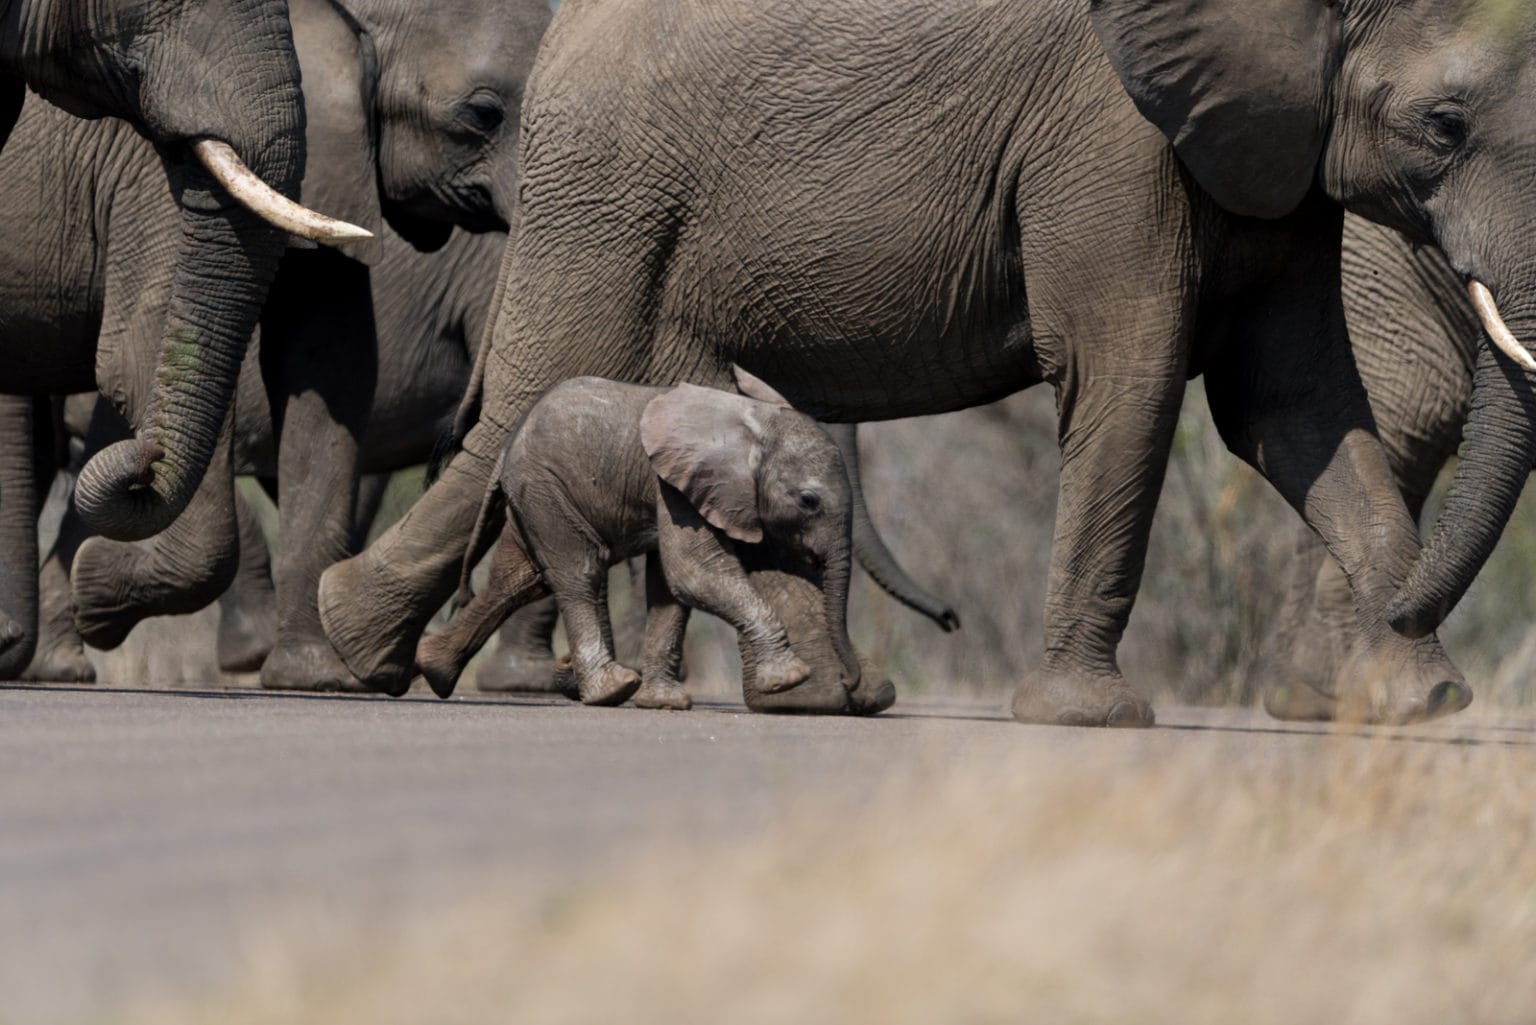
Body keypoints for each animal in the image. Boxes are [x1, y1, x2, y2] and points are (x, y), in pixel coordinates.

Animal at [0, 0, 551, 684]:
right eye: (483, 114)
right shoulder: (145, 164)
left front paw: (316, 677)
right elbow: (142, 356)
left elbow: (332, 373)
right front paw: (95, 591)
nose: (142, 462)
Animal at [416, 369, 892, 717]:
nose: (849, 682)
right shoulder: (674, 487)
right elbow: (692, 573)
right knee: (580, 570)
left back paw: (434, 668)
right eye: (808, 501)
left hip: (534, 496)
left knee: (519, 579)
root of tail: (506, 448)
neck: (753, 421)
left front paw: (666, 704)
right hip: (543, 487)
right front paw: (789, 678)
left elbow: (669, 588)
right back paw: (611, 688)